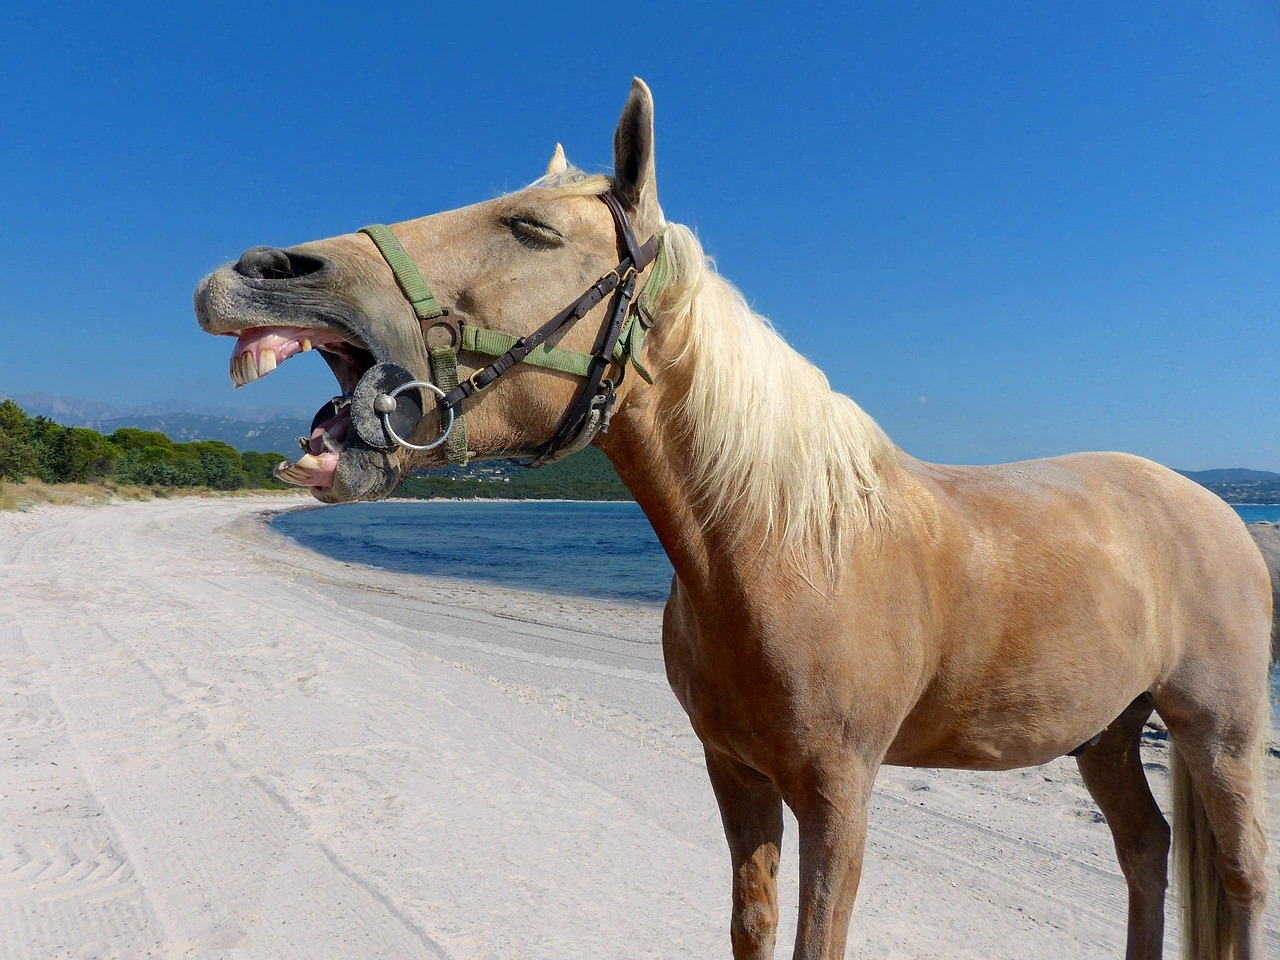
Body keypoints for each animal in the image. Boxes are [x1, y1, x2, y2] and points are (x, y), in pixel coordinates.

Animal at [195, 79, 1273, 959]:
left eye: (532, 229)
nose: (257, 272)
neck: (787, 549)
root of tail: (1216, 511)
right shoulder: (735, 774)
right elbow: (750, 927)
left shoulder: (838, 795)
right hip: (1106, 732)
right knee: (1145, 853)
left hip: (1216, 729)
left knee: (1236, 877)